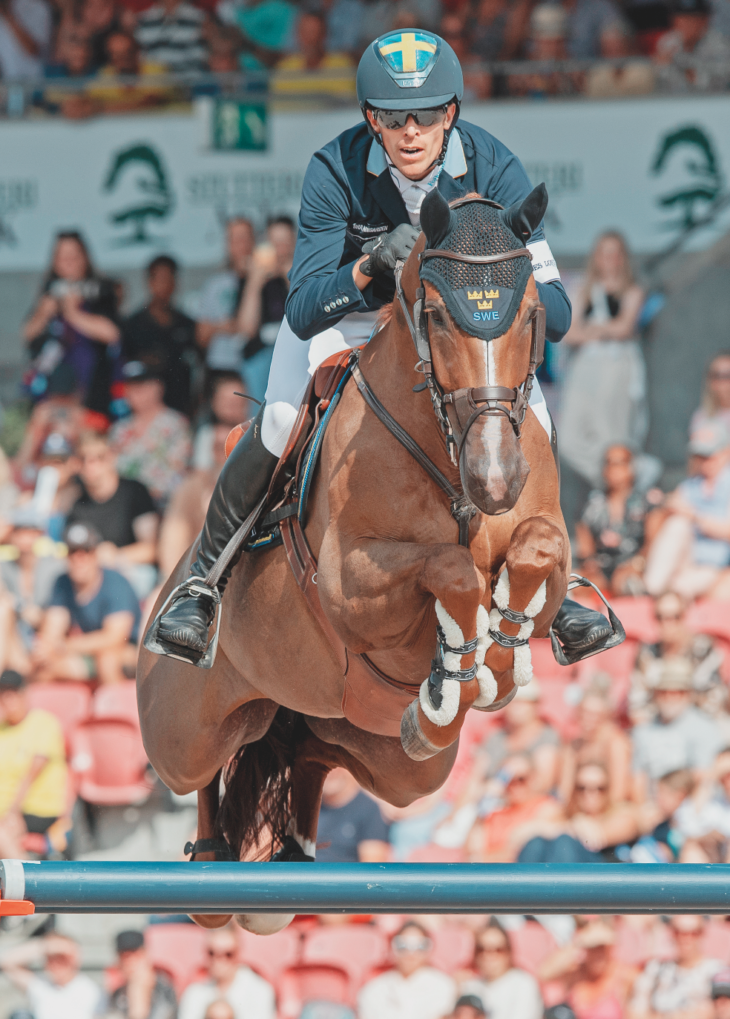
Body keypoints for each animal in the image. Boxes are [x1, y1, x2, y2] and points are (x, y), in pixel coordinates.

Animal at [137, 185, 570, 933]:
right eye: (435, 314)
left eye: (531, 315)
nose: (496, 479)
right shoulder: (347, 582)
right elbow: (449, 569)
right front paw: (461, 663)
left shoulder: (550, 551)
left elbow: (533, 558)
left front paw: (483, 667)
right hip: (181, 732)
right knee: (203, 773)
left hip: (397, 768)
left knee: (311, 752)